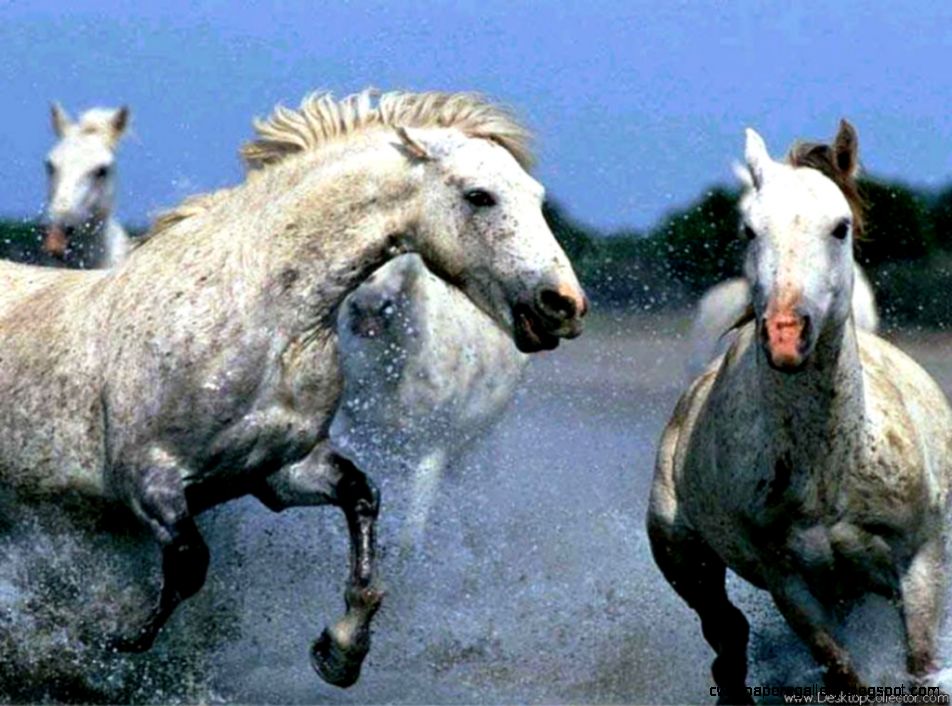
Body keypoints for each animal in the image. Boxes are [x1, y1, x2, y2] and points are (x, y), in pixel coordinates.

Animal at [647, 120, 952, 703]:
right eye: (748, 229)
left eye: (840, 227)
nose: (786, 335)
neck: (829, 466)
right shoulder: (790, 582)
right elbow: (840, 669)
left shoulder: (919, 562)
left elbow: (920, 665)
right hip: (683, 556)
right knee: (727, 635)